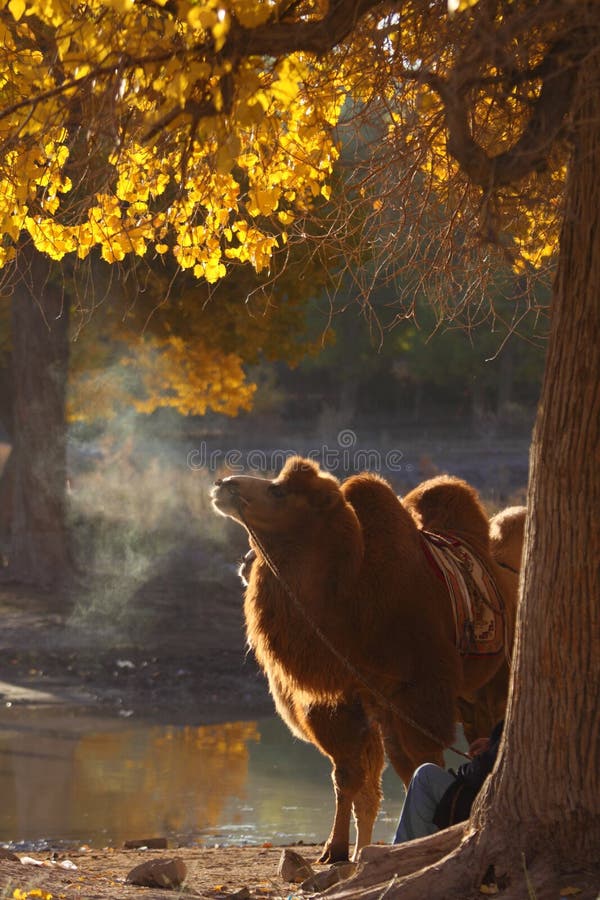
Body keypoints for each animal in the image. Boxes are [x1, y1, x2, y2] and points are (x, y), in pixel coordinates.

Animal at [211, 458, 520, 862]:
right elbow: (350, 776)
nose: (223, 484)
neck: (353, 600)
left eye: (278, 490)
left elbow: (420, 763)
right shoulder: (345, 701)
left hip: (491, 683)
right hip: (469, 695)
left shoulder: (419, 692)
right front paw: (337, 851)